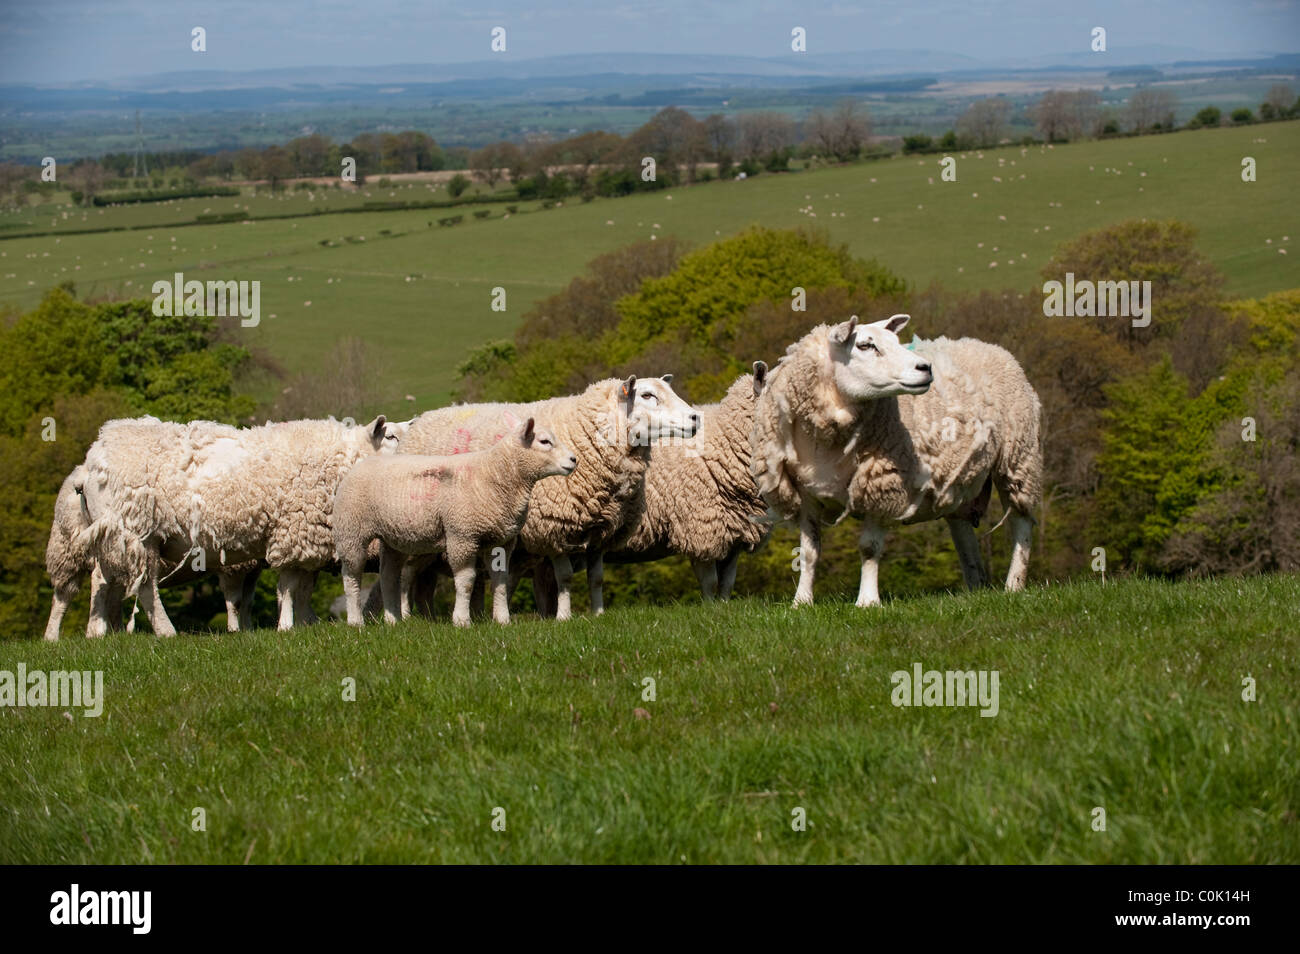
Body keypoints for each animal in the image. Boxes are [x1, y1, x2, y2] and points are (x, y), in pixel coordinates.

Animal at [79, 414, 393, 635]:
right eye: (391, 436)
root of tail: (94, 457)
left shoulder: (300, 536)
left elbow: (300, 587)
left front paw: (305, 623)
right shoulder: (291, 529)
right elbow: (290, 586)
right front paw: (288, 626)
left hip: (114, 536)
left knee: (103, 579)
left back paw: (98, 631)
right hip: (136, 533)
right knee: (145, 587)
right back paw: (165, 631)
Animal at [335, 417, 577, 627]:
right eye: (544, 441)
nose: (574, 460)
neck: (493, 474)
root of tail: (362, 463)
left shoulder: (502, 540)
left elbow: (500, 581)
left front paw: (502, 619)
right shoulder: (462, 534)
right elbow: (466, 580)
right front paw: (461, 620)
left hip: (393, 537)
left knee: (389, 575)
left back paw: (393, 620)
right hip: (351, 530)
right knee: (351, 576)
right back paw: (356, 621)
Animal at [397, 375, 699, 621]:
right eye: (647, 395)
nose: (696, 418)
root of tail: (421, 420)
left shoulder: (598, 534)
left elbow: (597, 579)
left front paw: (598, 614)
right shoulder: (554, 528)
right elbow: (564, 577)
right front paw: (563, 617)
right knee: (407, 573)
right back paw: (406, 616)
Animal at [605, 362, 771, 599]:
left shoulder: (733, 536)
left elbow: (727, 584)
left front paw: (724, 605)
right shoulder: (701, 530)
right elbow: (710, 583)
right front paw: (710, 607)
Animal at [751, 314, 1042, 608]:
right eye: (865, 345)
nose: (925, 368)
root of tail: (989, 346)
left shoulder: (881, 483)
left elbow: (869, 548)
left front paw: (867, 602)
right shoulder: (806, 494)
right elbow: (809, 552)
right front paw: (801, 601)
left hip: (1019, 459)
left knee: (1021, 522)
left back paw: (1014, 585)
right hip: (960, 478)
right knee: (962, 529)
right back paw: (975, 586)